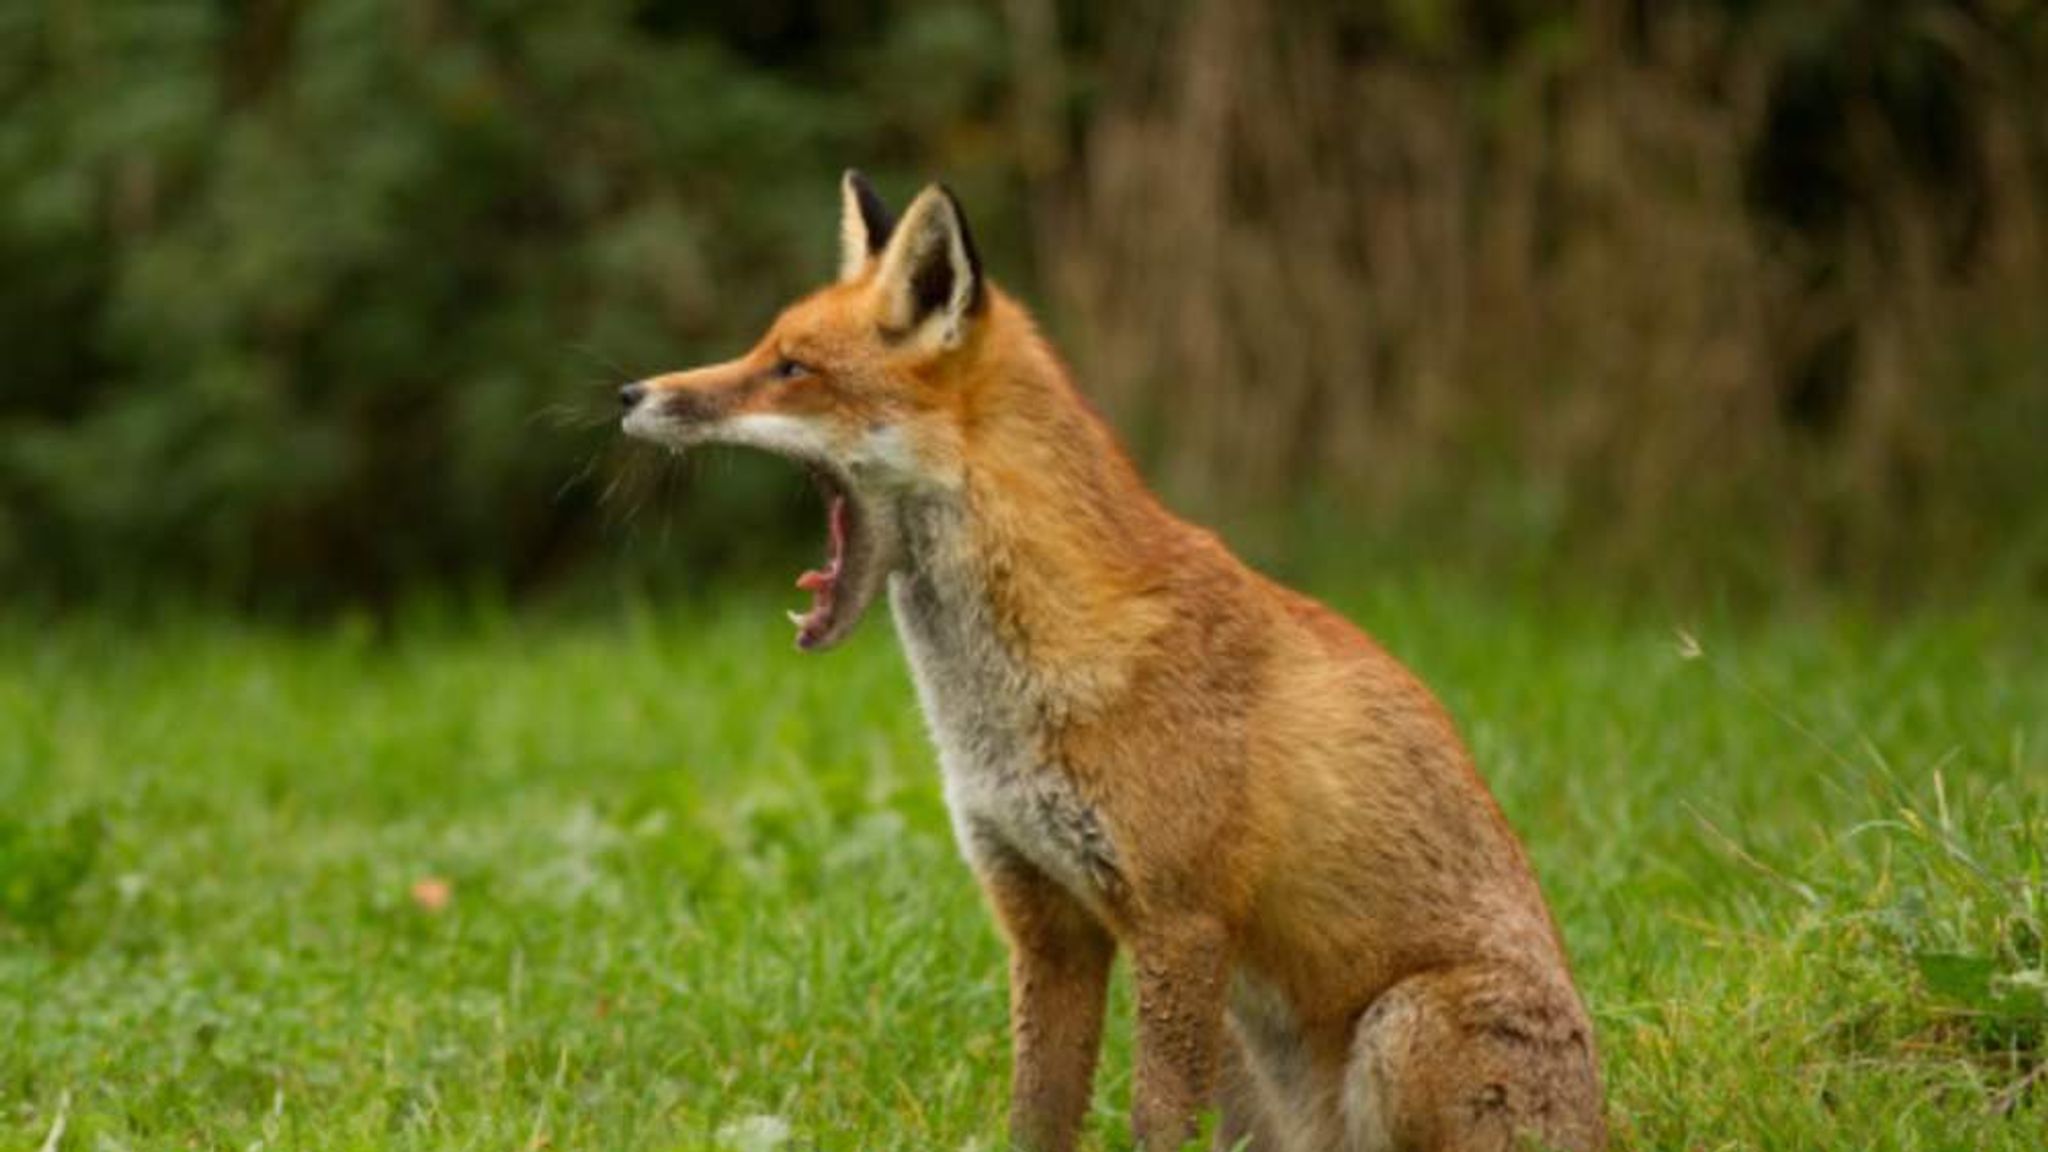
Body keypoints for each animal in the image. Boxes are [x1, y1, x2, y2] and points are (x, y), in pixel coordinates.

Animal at [619, 172, 1606, 1152]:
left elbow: (1151, 1121)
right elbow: (1037, 1114)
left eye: (791, 368)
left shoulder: (1180, 922)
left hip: (1400, 1026)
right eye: (763, 348)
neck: (1008, 700)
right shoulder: (1044, 920)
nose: (631, 391)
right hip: (1244, 1055)